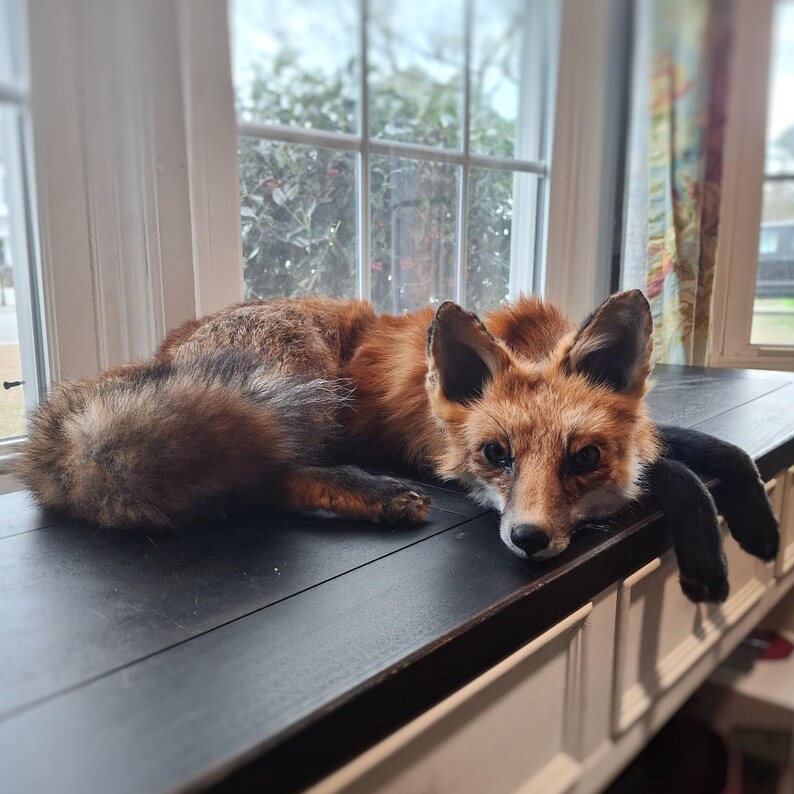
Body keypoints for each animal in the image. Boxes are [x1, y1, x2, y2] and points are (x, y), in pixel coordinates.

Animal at [17, 290, 778, 602]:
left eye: (583, 456)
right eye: (495, 454)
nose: (529, 539)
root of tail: (162, 355)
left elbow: (698, 449)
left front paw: (759, 527)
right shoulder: (444, 459)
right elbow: (669, 469)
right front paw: (708, 560)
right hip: (301, 385)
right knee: (266, 476)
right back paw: (377, 496)